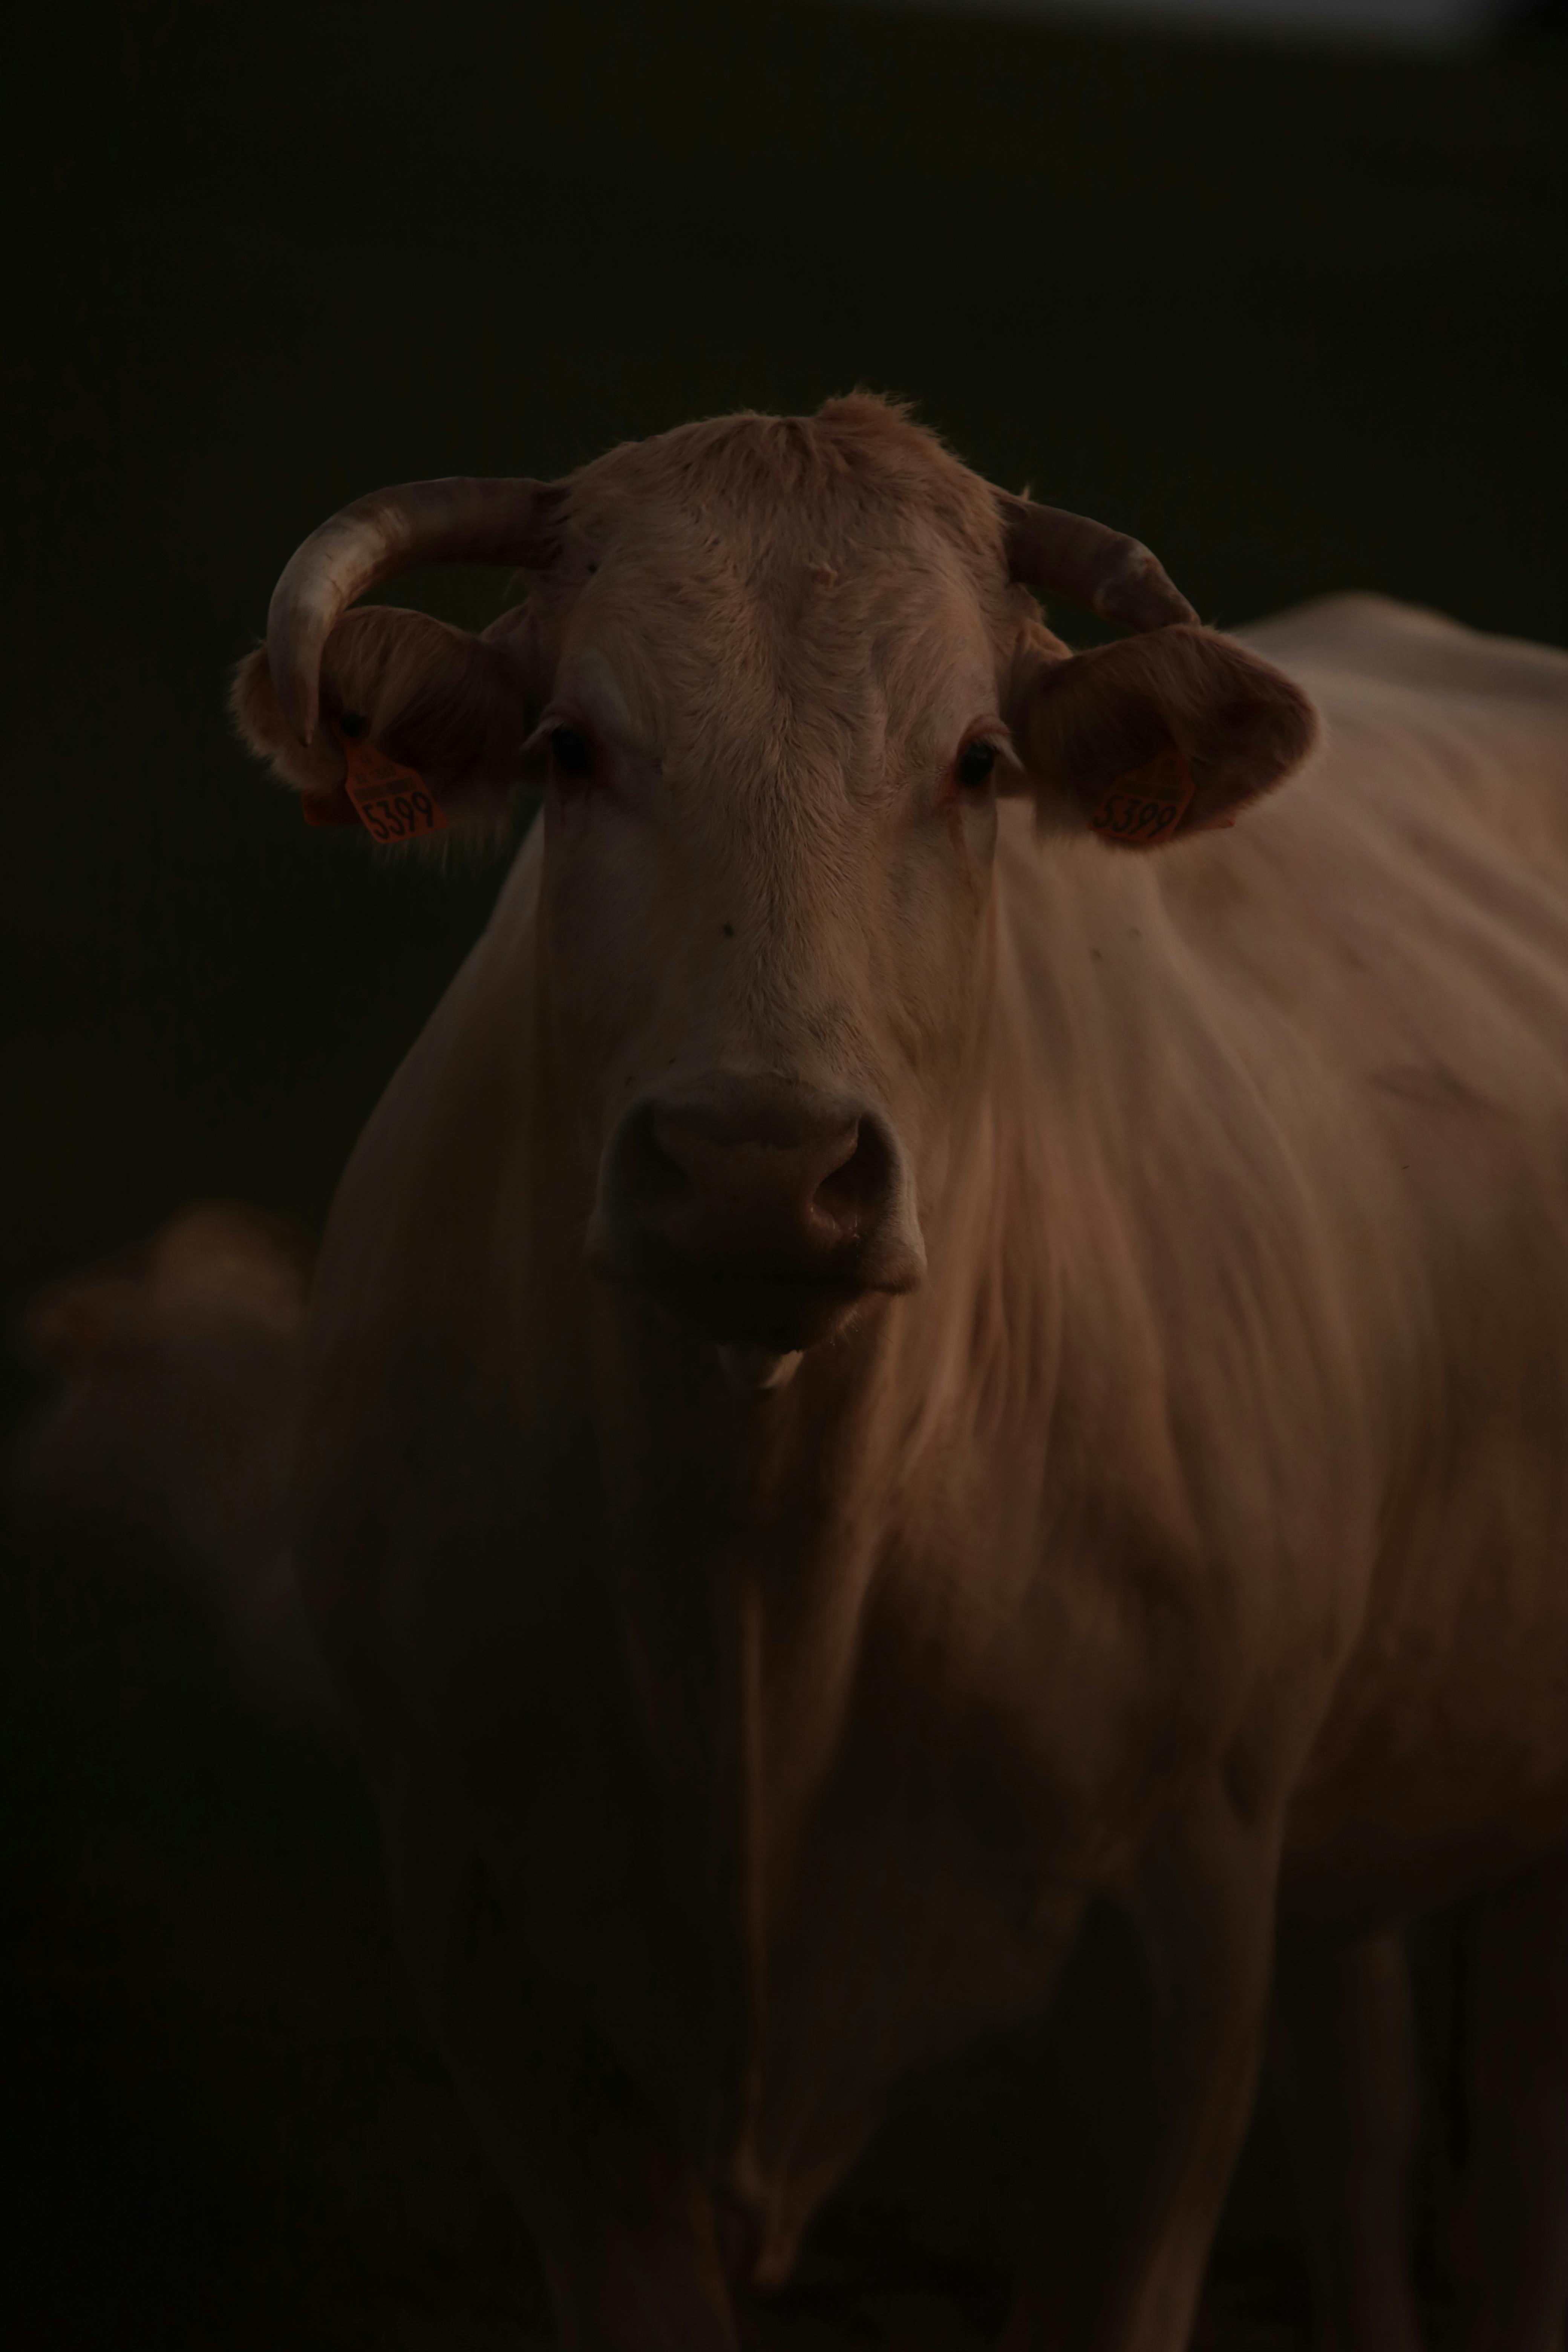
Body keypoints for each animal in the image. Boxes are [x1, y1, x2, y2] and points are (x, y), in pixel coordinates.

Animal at [229, 394, 1568, 2352]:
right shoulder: (480, 1917)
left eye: (979, 759)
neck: (760, 1606)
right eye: (570, 747)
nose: (755, 1163)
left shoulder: (1183, 1939)